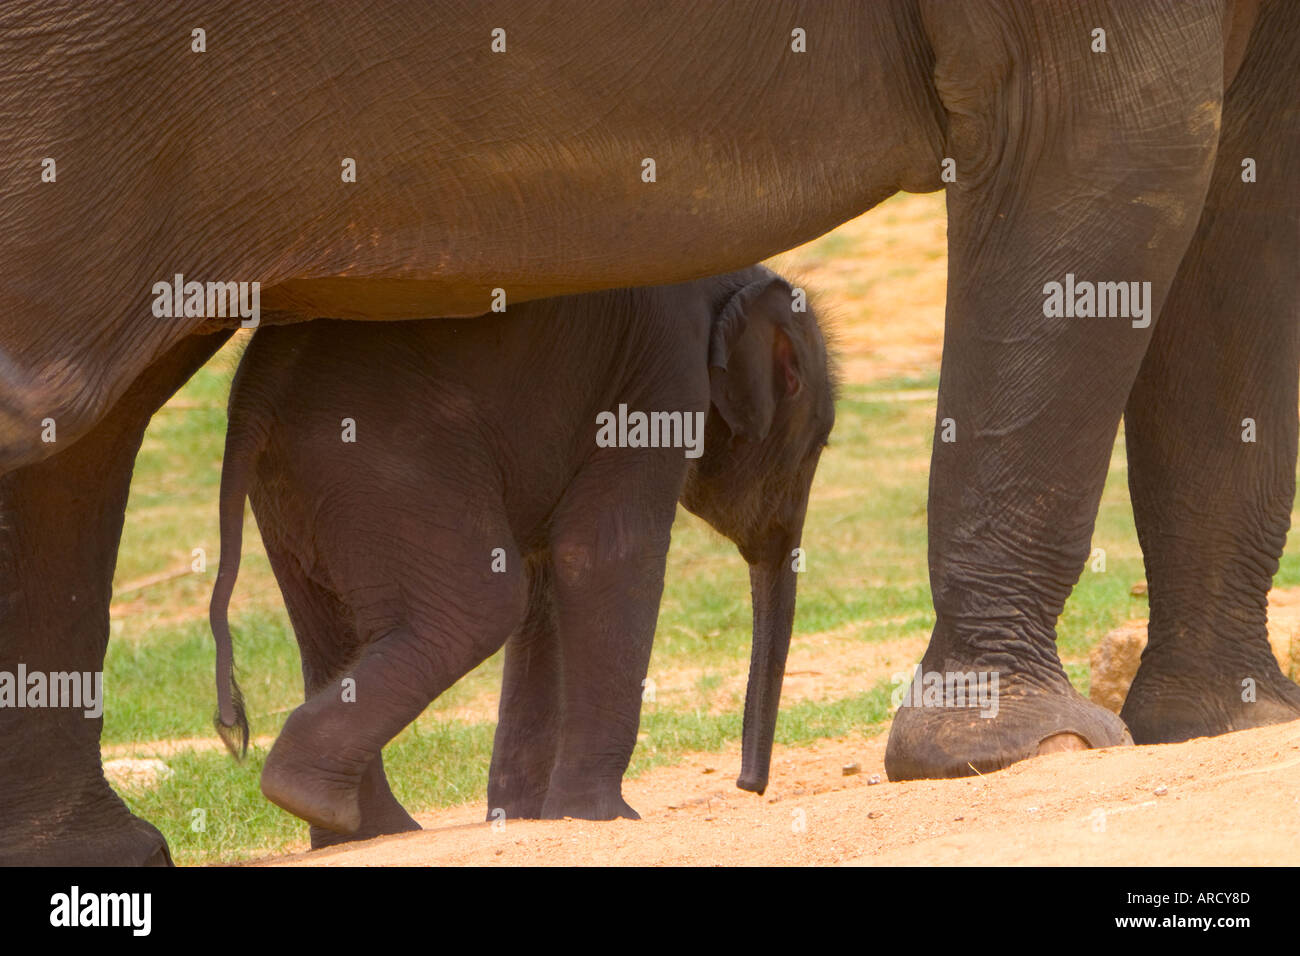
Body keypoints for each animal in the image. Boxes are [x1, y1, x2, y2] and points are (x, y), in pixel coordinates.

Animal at [206, 266, 834, 844]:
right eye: (820, 446)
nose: (748, 786)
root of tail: (251, 393)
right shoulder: (662, 372)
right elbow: (603, 553)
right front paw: (603, 817)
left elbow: (547, 581)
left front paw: (530, 817)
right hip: (375, 458)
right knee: (476, 609)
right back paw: (315, 799)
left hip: (299, 485)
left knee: (328, 629)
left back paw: (367, 830)